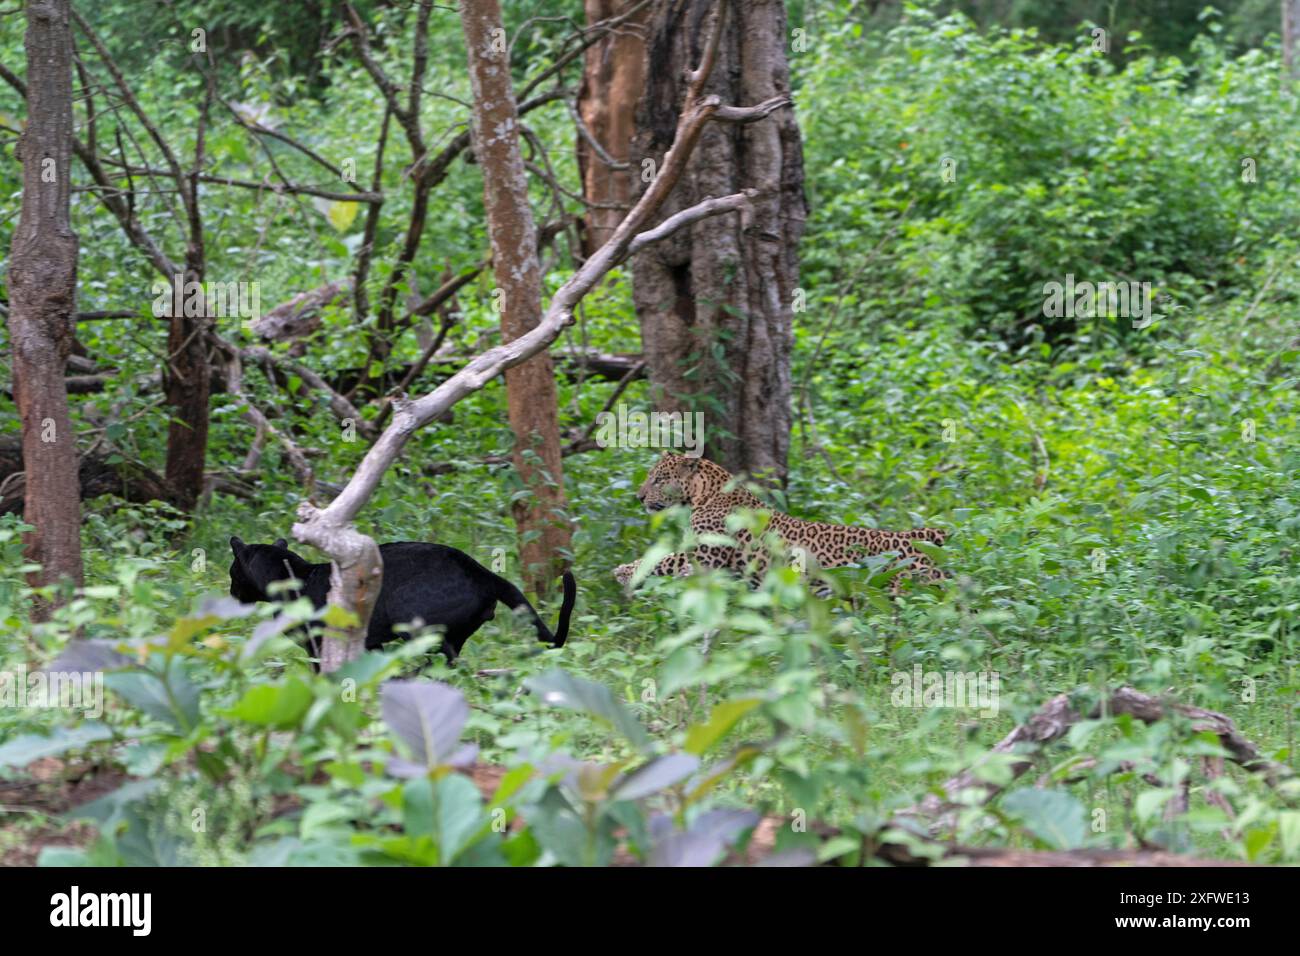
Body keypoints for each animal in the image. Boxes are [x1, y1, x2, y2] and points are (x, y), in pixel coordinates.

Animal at [613, 453, 948, 595]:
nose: (638, 497)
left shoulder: (705, 555)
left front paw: (624, 571)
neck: (704, 493)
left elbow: (664, 560)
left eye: (658, 479)